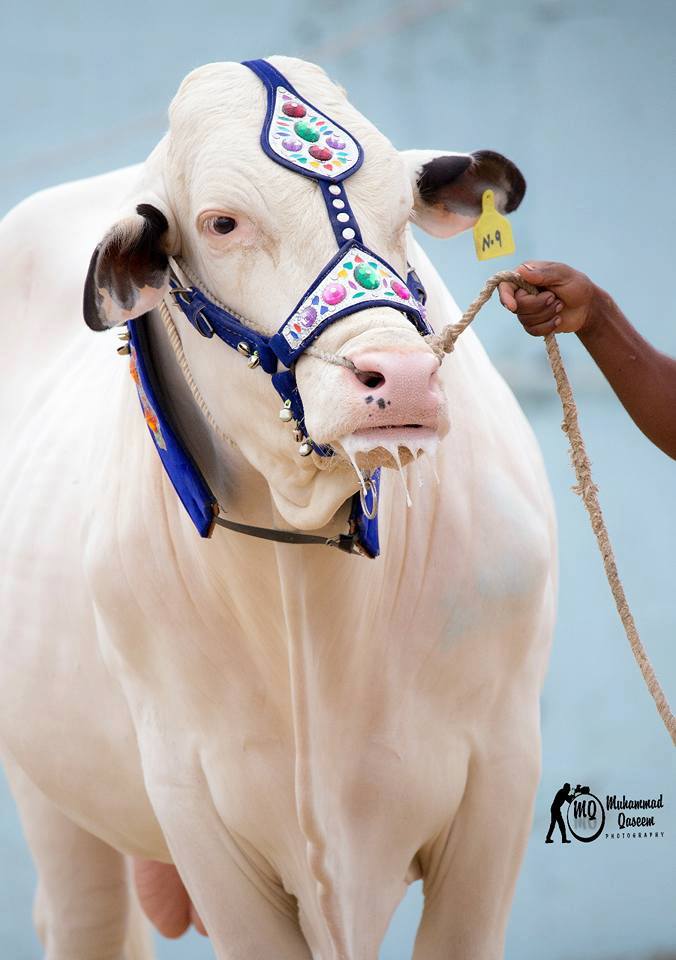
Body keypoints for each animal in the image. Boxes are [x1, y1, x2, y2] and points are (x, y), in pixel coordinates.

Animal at [0, 55, 557, 960]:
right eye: (221, 222)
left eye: (402, 211)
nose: (403, 379)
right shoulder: (195, 807)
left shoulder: (502, 779)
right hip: (53, 797)